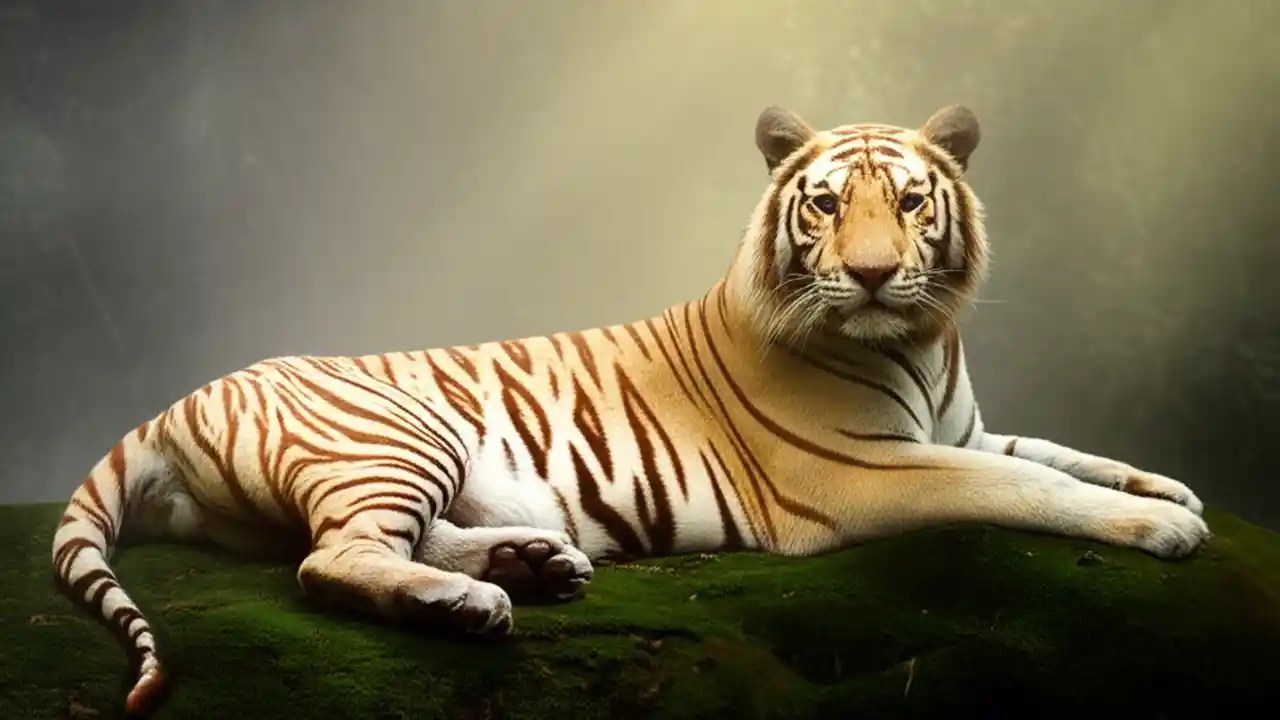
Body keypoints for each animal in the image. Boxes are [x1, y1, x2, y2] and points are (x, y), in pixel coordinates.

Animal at [51, 104, 1209, 716]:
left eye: (912, 201)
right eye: (827, 204)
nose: (878, 274)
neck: (921, 348)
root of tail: (171, 403)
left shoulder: (955, 429)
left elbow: (1055, 449)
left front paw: (1166, 482)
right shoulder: (866, 471)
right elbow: (1025, 483)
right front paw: (1163, 526)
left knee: (373, 540)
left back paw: (535, 562)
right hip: (400, 432)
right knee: (332, 559)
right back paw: (472, 602)